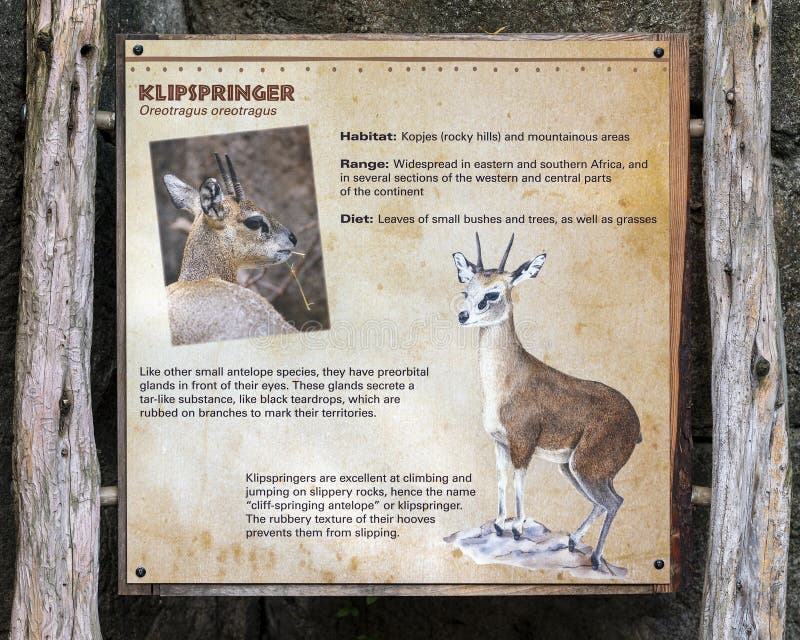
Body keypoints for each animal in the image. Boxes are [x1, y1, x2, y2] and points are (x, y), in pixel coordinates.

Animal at [452, 233, 641, 570]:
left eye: (492, 293)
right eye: (466, 290)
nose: (463, 316)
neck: (507, 381)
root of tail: (637, 425)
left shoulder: (523, 442)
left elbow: (518, 480)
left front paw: (516, 528)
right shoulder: (500, 442)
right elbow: (501, 478)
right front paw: (499, 524)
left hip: (587, 467)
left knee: (614, 501)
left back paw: (595, 558)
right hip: (572, 468)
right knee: (603, 502)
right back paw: (573, 541)